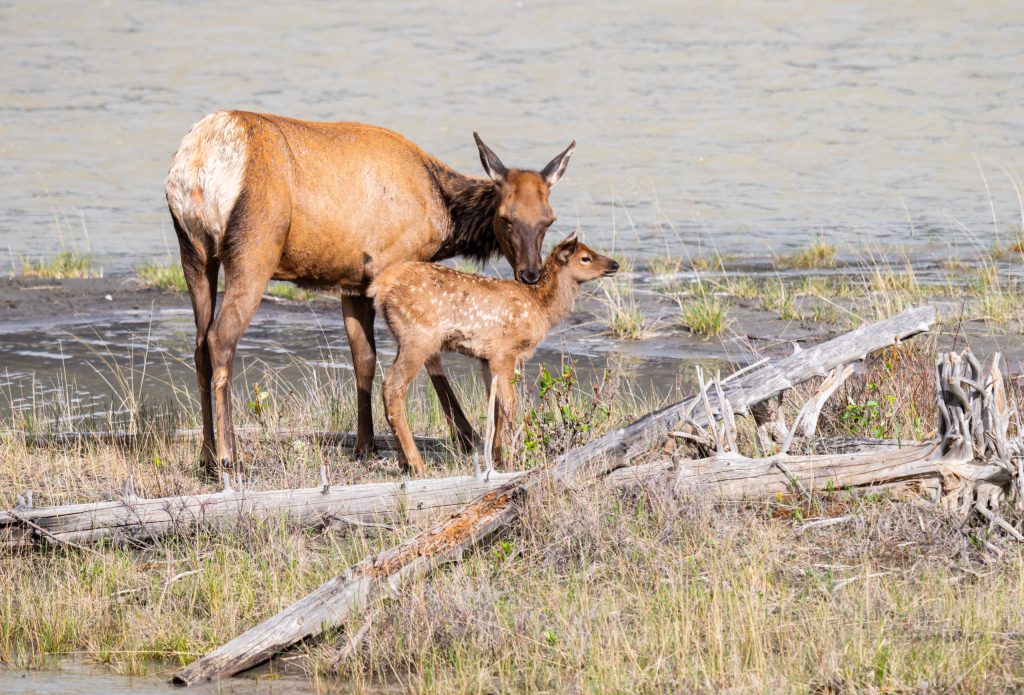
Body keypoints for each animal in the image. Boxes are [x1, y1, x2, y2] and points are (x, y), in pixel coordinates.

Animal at [165, 111, 575, 480]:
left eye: (548, 219)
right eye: (506, 218)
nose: (529, 273)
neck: (443, 218)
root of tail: (197, 164)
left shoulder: (353, 282)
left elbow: (363, 358)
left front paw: (366, 446)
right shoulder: (396, 264)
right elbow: (430, 357)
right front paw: (465, 436)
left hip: (194, 252)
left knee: (199, 344)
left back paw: (205, 456)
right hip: (253, 250)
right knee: (221, 339)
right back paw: (228, 457)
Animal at [370, 230, 619, 476]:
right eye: (585, 258)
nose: (615, 264)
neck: (541, 307)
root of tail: (380, 286)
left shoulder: (486, 357)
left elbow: (494, 405)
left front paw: (498, 460)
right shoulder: (505, 351)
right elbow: (509, 403)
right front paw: (512, 462)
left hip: (404, 338)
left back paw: (404, 462)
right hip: (418, 338)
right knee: (392, 387)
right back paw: (418, 465)